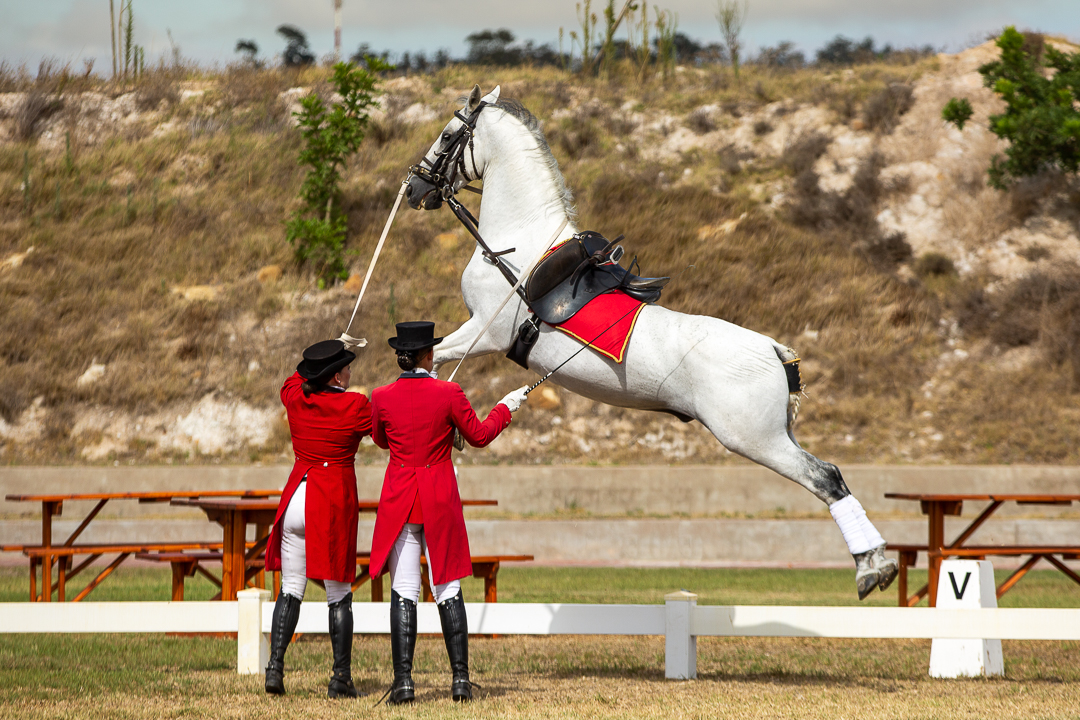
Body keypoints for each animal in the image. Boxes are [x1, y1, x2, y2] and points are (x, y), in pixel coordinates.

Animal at [404, 85, 899, 600]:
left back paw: (872, 568)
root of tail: (772, 350)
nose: (415, 187)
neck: (517, 247)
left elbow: (437, 360)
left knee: (826, 478)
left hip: (753, 439)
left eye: (447, 135)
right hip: (778, 434)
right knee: (829, 473)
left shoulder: (484, 329)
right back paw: (876, 564)